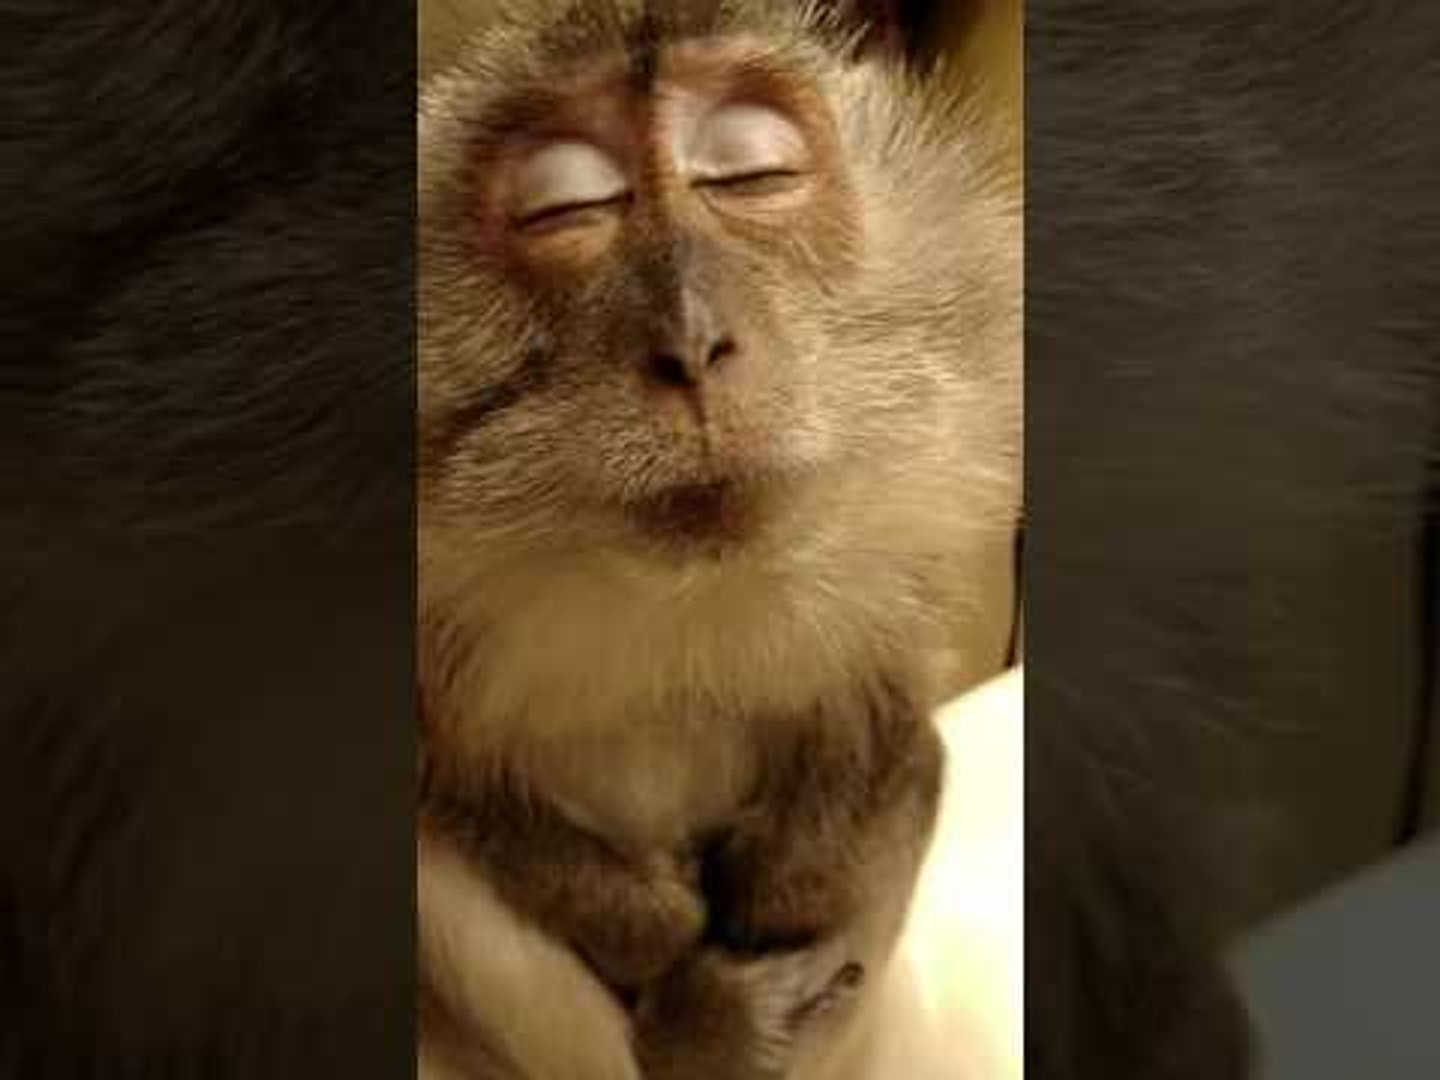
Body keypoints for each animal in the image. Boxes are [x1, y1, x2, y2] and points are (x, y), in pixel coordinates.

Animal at [415, 0, 1021, 1075]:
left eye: (749, 174)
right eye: (565, 209)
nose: (692, 344)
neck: (682, 582)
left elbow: (884, 704)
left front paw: (793, 877)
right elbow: (438, 781)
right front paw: (650, 929)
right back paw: (699, 1028)